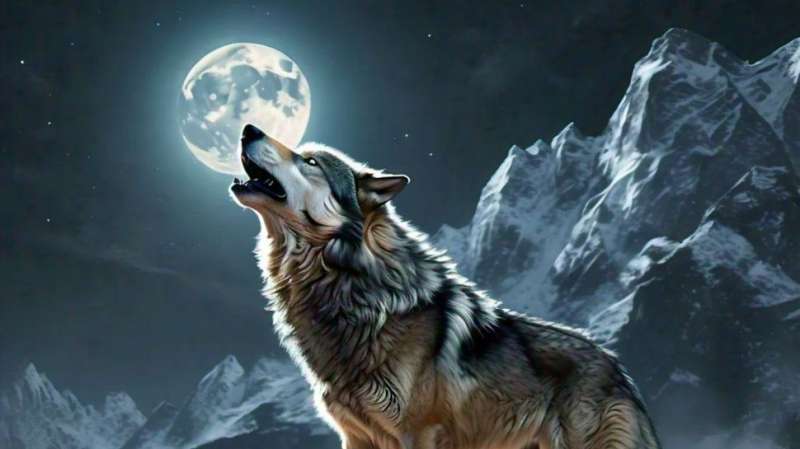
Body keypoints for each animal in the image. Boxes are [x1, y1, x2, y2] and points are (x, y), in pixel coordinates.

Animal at [229, 123, 661, 449]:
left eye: (310, 161)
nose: (248, 128)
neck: (351, 290)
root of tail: (621, 370)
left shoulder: (419, 432)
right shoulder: (356, 437)